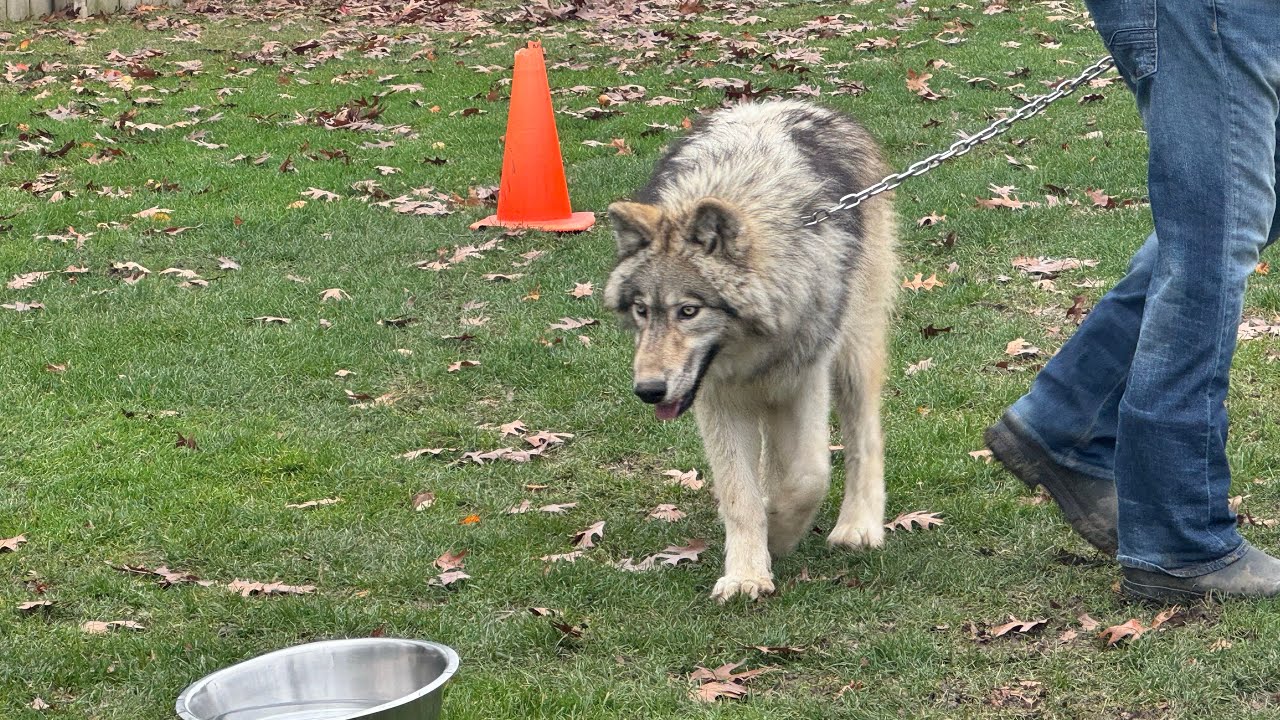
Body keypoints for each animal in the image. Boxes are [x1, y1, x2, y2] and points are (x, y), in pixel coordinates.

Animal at [604, 100, 897, 602]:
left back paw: (858, 526)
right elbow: (740, 495)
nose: (648, 390)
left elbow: (810, 476)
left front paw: (779, 532)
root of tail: (798, 102)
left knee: (863, 438)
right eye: (642, 311)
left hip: (852, 355)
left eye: (688, 311)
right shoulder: (717, 398)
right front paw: (747, 573)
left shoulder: (806, 379)